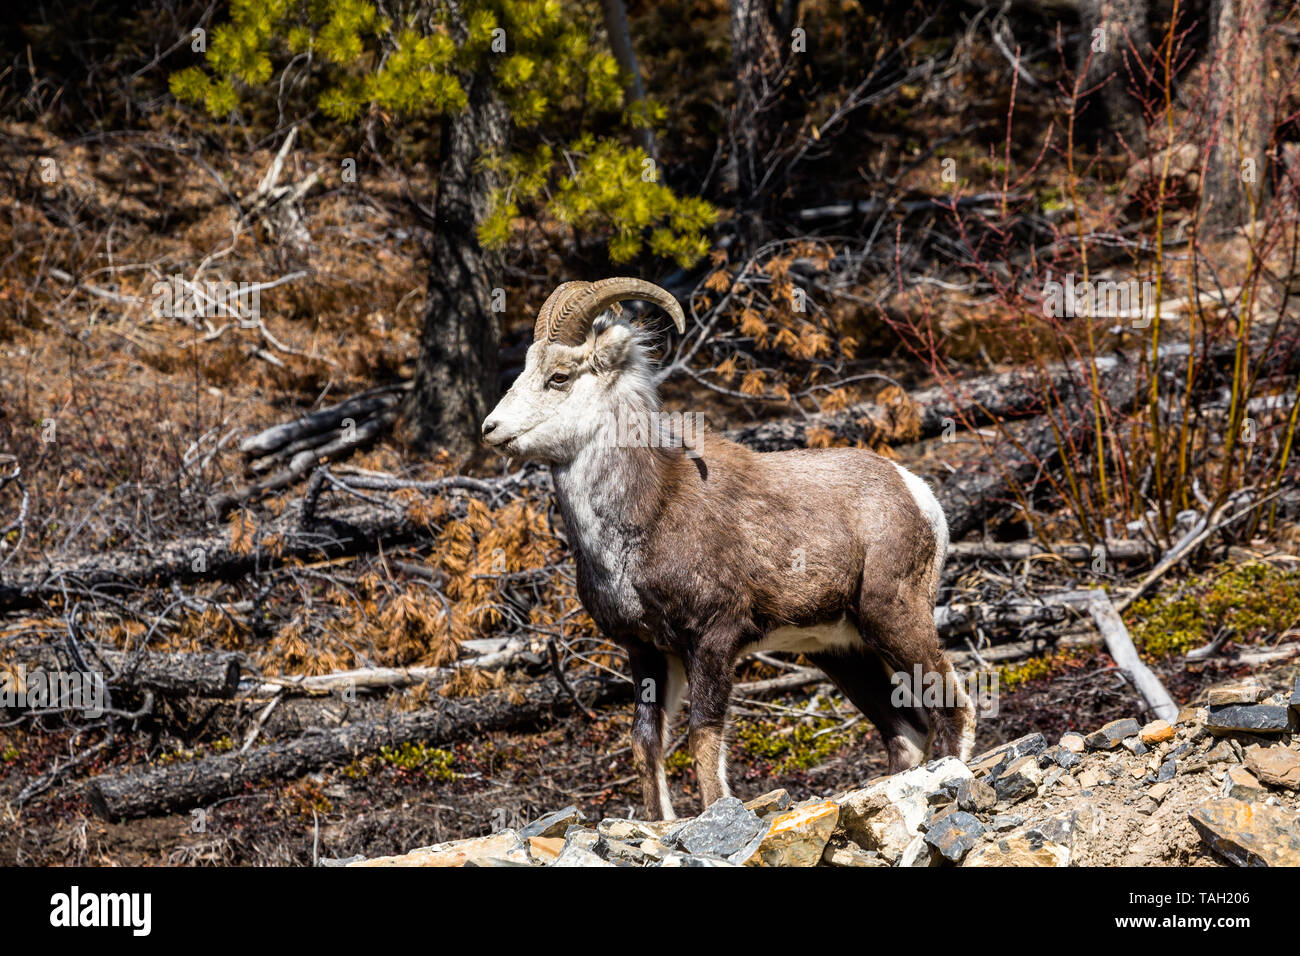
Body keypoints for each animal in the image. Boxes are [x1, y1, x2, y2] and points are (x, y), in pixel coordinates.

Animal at [481, 277, 976, 820]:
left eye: (559, 377)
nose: (491, 429)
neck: (646, 515)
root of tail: (917, 492)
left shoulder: (713, 640)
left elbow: (703, 737)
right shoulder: (647, 652)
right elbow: (645, 742)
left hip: (893, 618)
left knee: (954, 706)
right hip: (843, 650)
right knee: (905, 732)